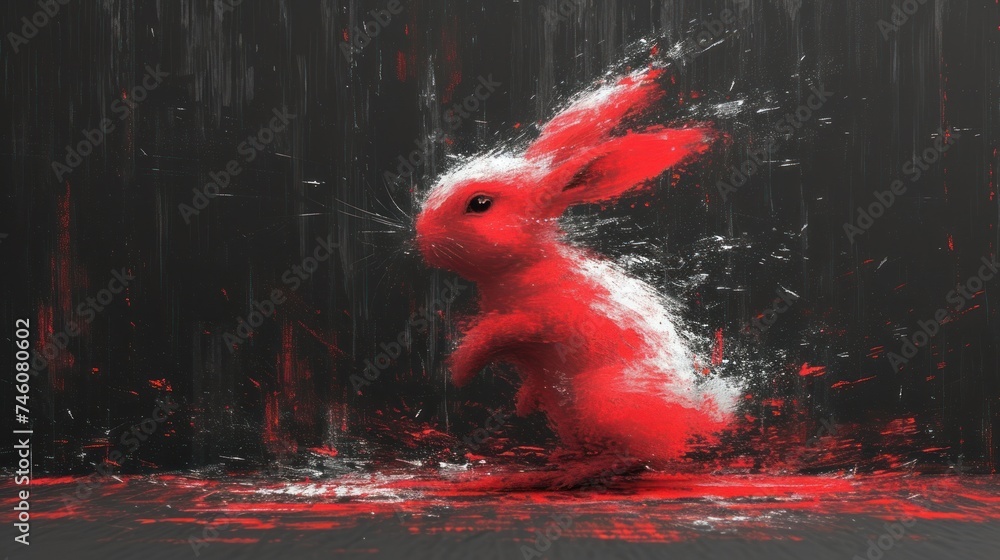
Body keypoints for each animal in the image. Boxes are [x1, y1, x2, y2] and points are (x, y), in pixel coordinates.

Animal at [414, 67, 739, 487]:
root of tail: (688, 425)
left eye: (480, 204)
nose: (421, 234)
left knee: (635, 459)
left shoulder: (540, 319)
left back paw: (571, 474)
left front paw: (459, 369)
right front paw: (523, 403)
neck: (528, 267)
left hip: (600, 403)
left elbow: (495, 334)